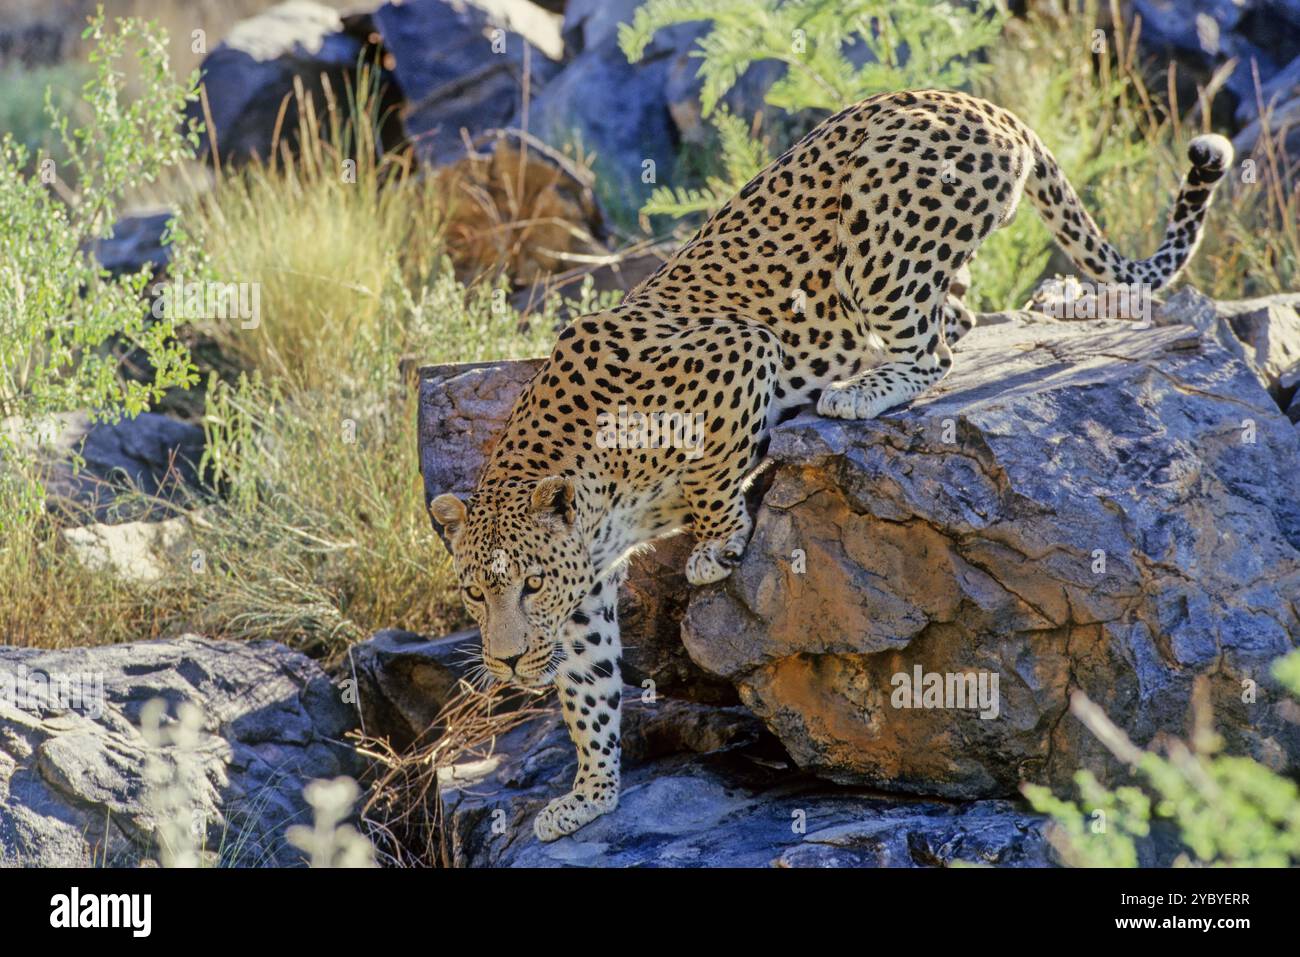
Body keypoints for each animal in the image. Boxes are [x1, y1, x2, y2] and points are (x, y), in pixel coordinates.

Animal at [429, 89, 1233, 842]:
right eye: (473, 593)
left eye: (531, 584)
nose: (503, 664)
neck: (594, 490)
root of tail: (981, 102)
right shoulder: (589, 585)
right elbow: (588, 685)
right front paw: (589, 795)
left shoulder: (737, 354)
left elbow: (712, 473)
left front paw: (717, 546)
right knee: (959, 316)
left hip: (879, 236)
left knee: (934, 348)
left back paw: (858, 389)